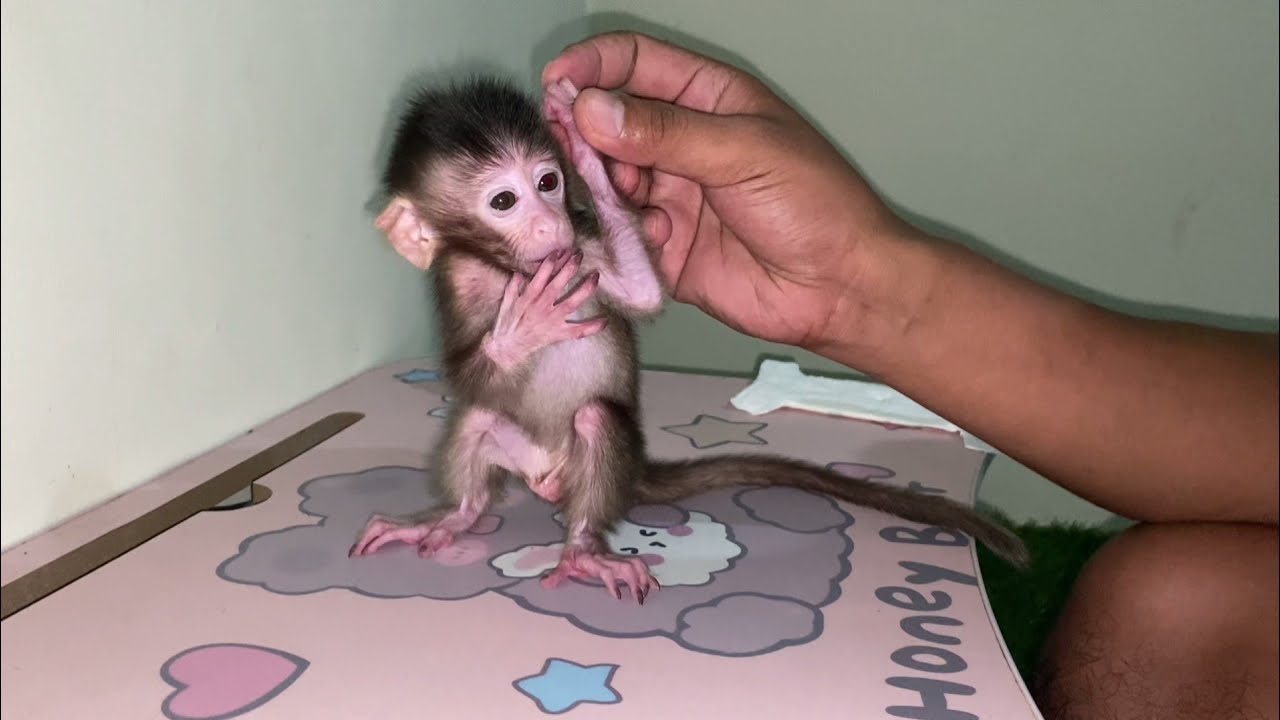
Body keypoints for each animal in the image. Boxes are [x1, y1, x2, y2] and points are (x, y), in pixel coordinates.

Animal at [349, 75, 1029, 604]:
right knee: (478, 416)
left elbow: (640, 293)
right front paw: (525, 324)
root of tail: (549, 477)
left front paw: (586, 141)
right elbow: (463, 373)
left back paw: (582, 550)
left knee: (597, 419)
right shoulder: (457, 280)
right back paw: (452, 519)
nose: (548, 224)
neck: (508, 266)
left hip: (587, 463)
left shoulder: (581, 248)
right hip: (515, 447)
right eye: (503, 201)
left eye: (546, 183)